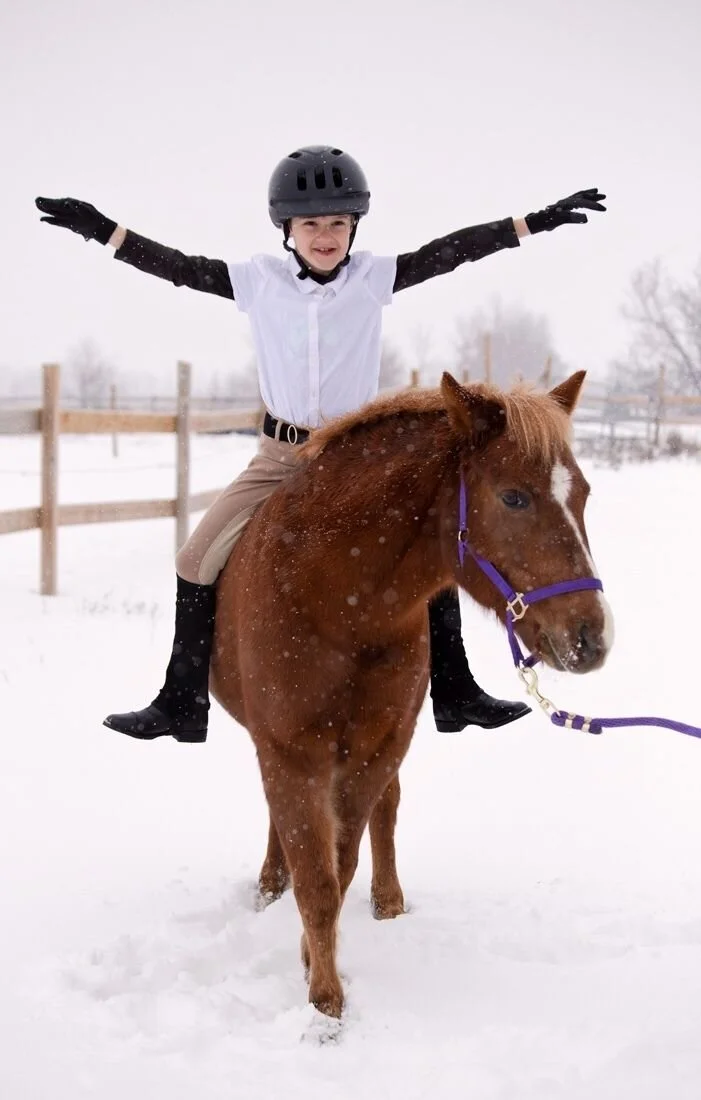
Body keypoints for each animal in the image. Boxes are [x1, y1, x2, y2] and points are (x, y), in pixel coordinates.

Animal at [210, 370, 612, 1018]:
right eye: (514, 497)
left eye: (582, 494)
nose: (590, 636)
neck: (338, 600)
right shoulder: (290, 751)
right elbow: (316, 879)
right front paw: (326, 1005)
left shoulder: (379, 747)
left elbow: (342, 862)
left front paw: (315, 966)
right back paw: (270, 887)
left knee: (385, 811)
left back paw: (388, 901)